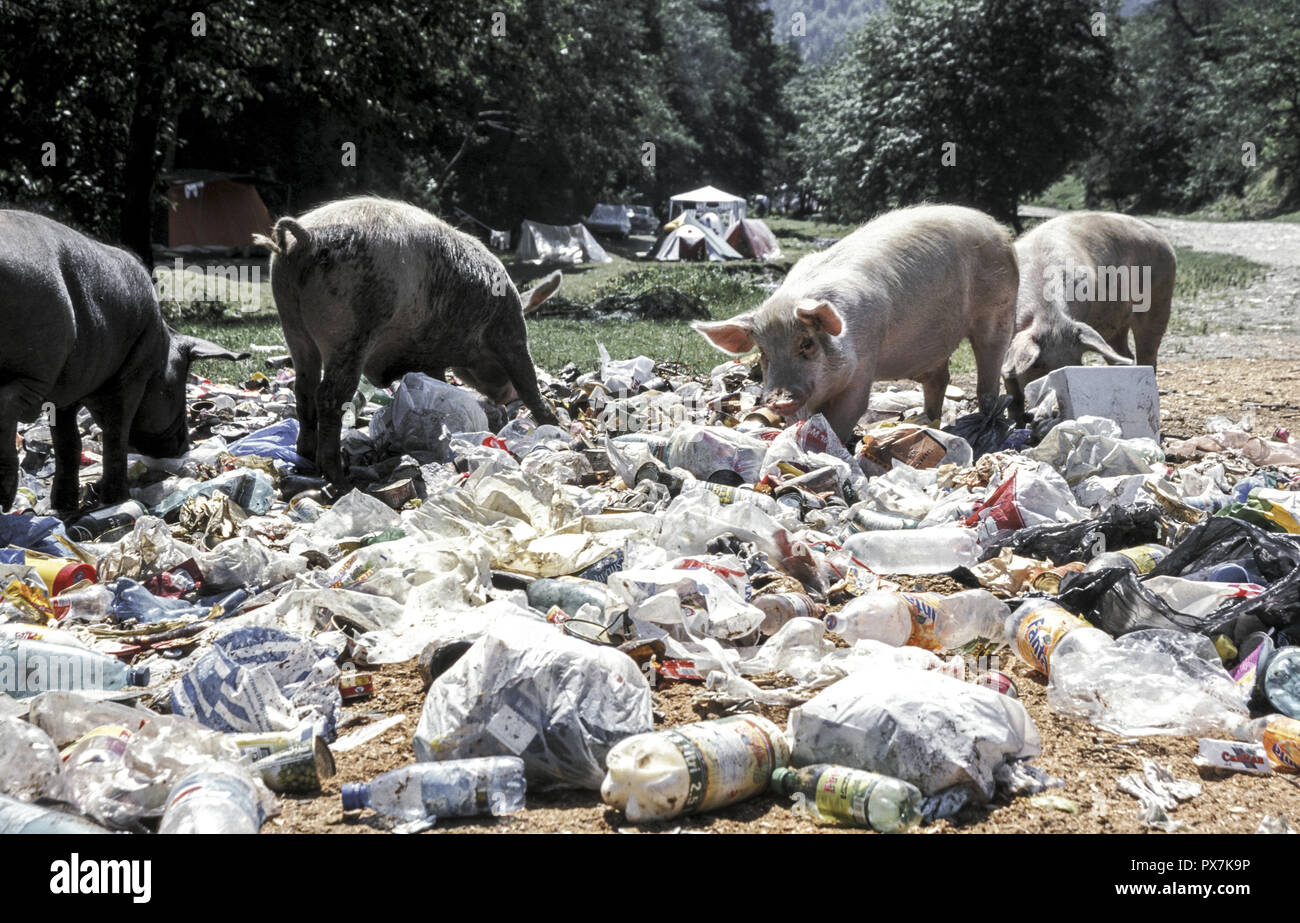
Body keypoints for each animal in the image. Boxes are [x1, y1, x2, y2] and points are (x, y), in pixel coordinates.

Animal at [0, 210, 246, 512]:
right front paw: (117, 500)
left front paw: (63, 507)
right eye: (176, 389)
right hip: (40, 362)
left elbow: (68, 443)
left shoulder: (68, 391)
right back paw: (5, 499)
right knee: (7, 403)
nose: (184, 446)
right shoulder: (133, 374)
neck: (161, 346)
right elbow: (116, 434)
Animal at [255, 197, 561, 485]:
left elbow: (438, 382)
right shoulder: (510, 335)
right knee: (329, 395)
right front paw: (553, 424)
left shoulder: (431, 357)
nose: (506, 397)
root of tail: (305, 239)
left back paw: (305, 460)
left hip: (292, 325)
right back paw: (338, 476)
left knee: (303, 390)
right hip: (351, 332)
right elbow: (528, 382)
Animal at [693, 204, 1019, 442]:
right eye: (763, 352)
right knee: (939, 379)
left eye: (807, 343)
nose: (778, 398)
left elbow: (848, 413)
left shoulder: (864, 362)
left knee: (989, 375)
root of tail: (998, 228)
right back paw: (927, 423)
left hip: (999, 312)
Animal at [1002, 212, 1175, 421]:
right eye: (1037, 365)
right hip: (1115, 327)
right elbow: (1011, 387)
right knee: (1124, 355)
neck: (1048, 317)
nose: (1055, 409)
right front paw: (1016, 422)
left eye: (1076, 363)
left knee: (1148, 352)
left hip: (1160, 299)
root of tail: (1163, 238)